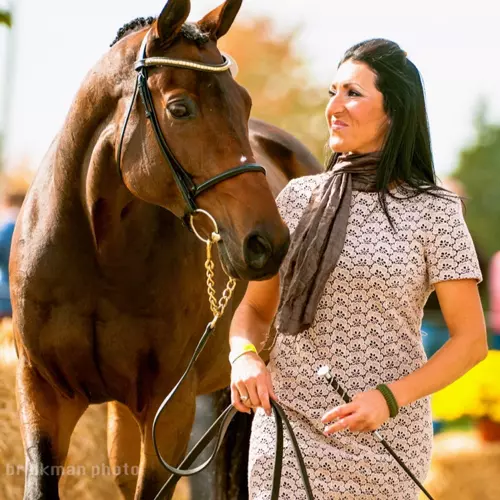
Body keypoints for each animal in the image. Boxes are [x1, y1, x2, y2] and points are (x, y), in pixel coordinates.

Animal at [11, 0, 324, 500]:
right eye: (180, 108)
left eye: (244, 102)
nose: (269, 243)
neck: (98, 255)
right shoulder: (43, 393)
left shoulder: (170, 411)